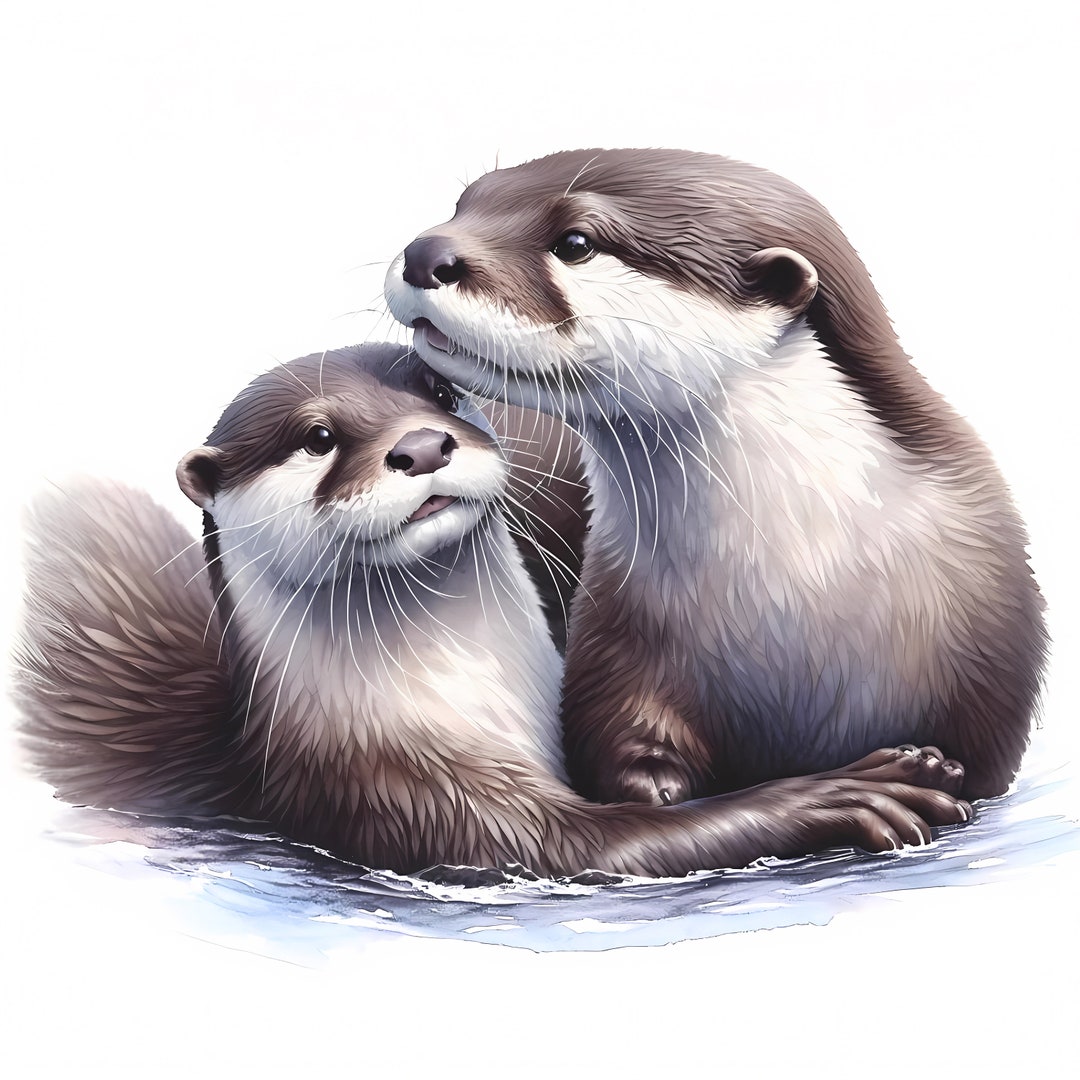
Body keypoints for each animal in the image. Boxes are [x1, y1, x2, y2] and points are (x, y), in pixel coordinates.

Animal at [15, 343, 971, 876]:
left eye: (438, 393)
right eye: (318, 437)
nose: (421, 444)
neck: (466, 695)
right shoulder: (400, 796)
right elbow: (610, 845)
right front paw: (836, 792)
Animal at [384, 148, 1048, 807]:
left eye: (575, 242)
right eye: (466, 201)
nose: (424, 253)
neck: (794, 589)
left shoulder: (992, 643)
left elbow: (983, 770)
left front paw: (932, 763)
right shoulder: (618, 639)